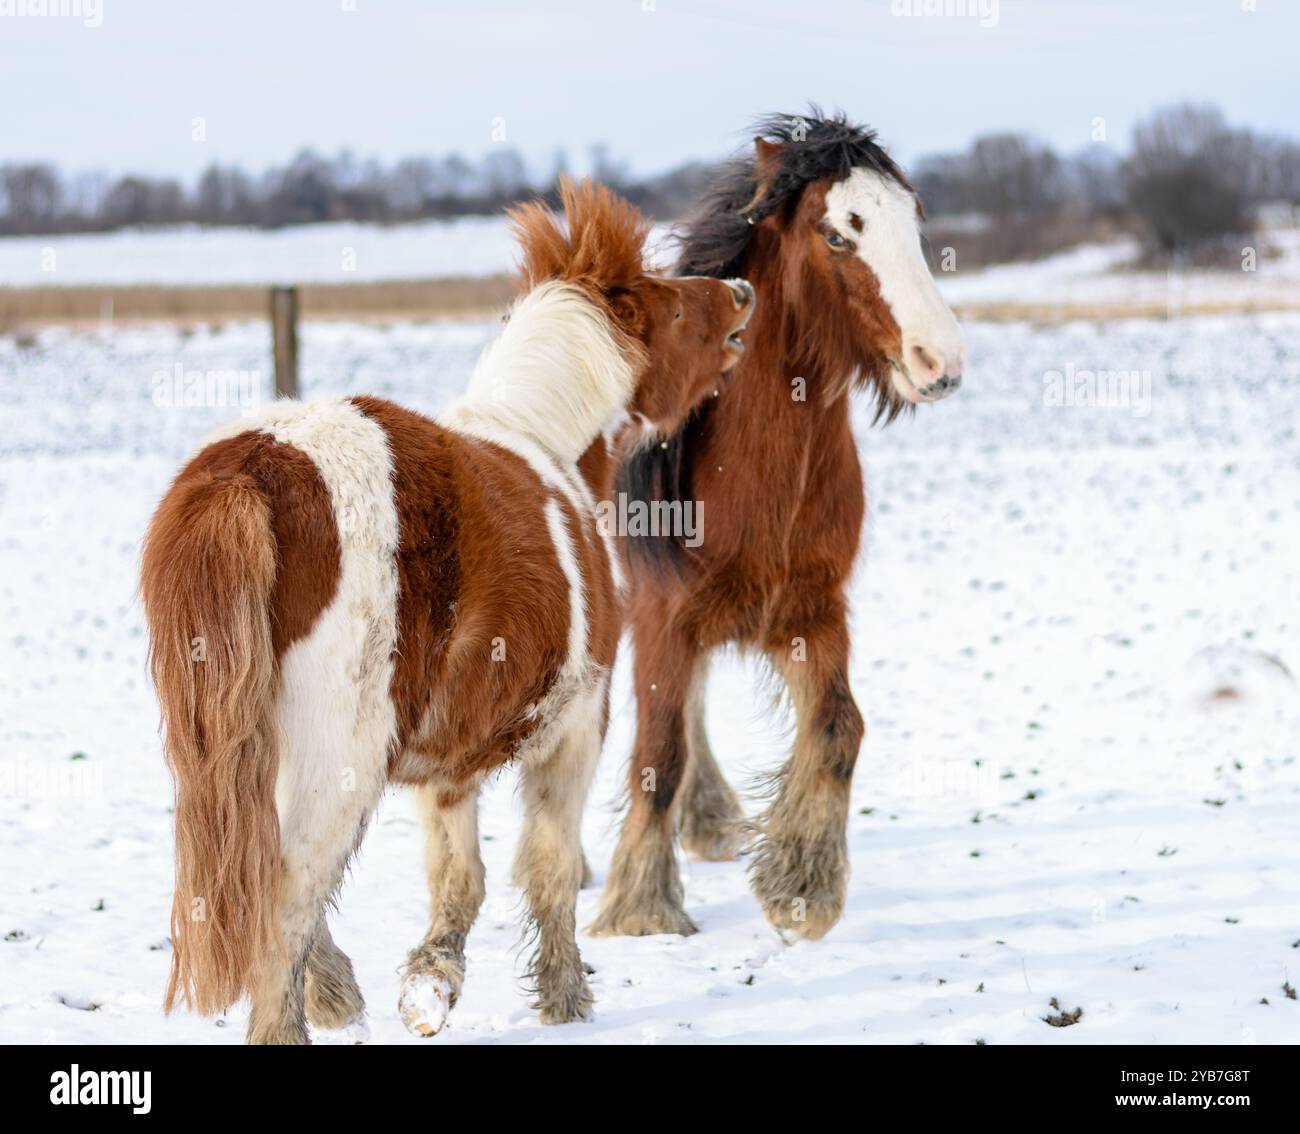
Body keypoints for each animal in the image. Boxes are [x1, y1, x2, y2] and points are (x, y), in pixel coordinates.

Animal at [140, 177, 754, 1044]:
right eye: (668, 301)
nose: (739, 291)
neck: (548, 445)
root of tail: (255, 467)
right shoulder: (577, 727)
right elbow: (548, 866)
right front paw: (564, 999)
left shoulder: (448, 768)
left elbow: (459, 877)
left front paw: (430, 984)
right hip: (339, 765)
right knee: (282, 897)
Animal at [589, 111, 964, 941]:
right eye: (838, 233)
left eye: (913, 220)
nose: (940, 360)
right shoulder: (662, 612)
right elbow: (655, 755)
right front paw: (641, 909)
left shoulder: (812, 611)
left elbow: (839, 731)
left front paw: (801, 882)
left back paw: (710, 820)